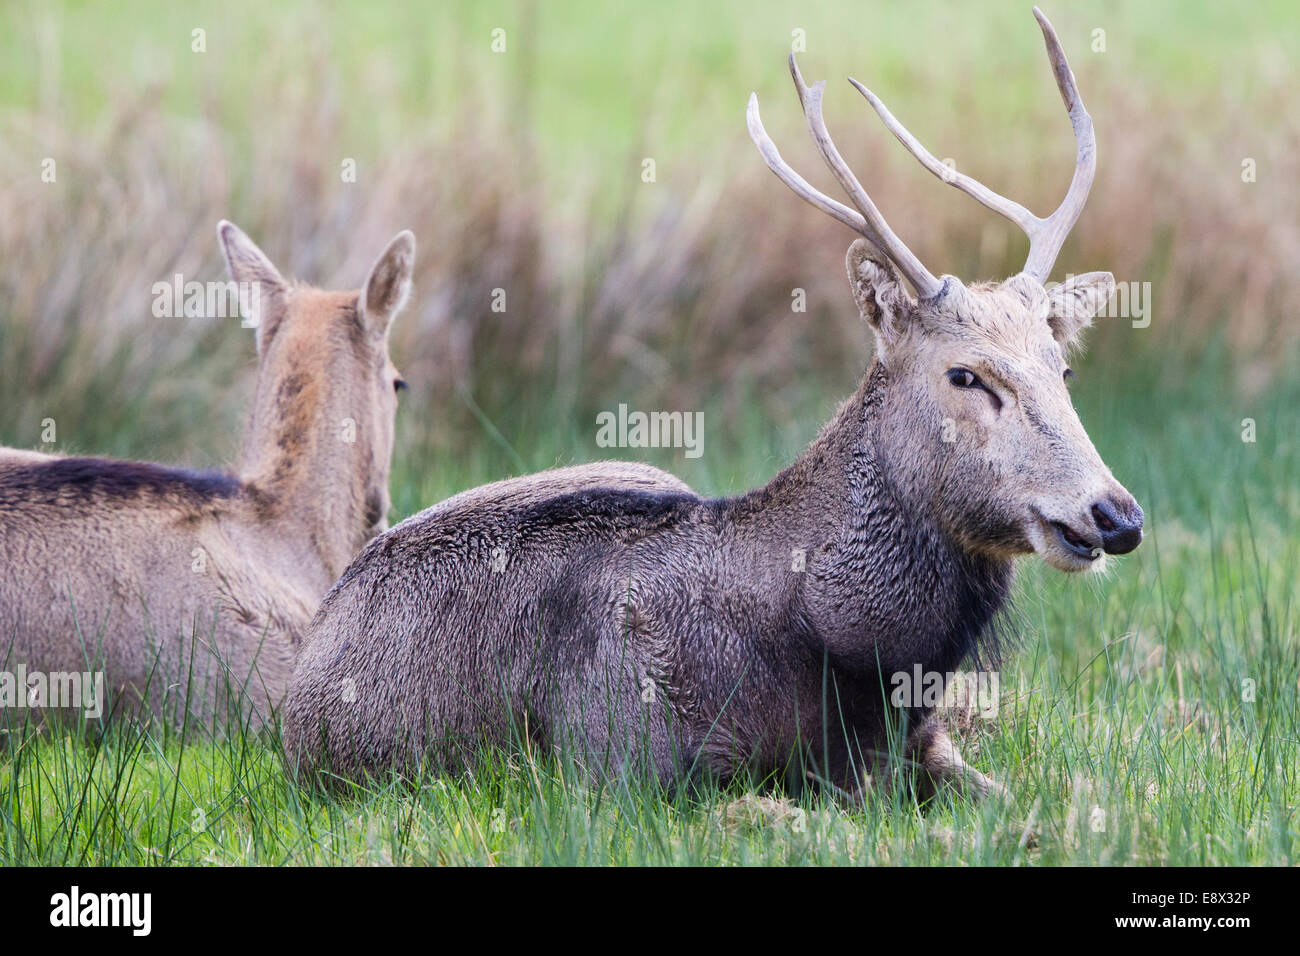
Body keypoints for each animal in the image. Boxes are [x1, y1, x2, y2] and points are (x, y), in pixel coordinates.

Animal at [282, 7, 1143, 801]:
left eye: (1063, 368)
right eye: (966, 376)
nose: (1116, 513)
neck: (845, 652)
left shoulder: (928, 746)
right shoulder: (619, 763)